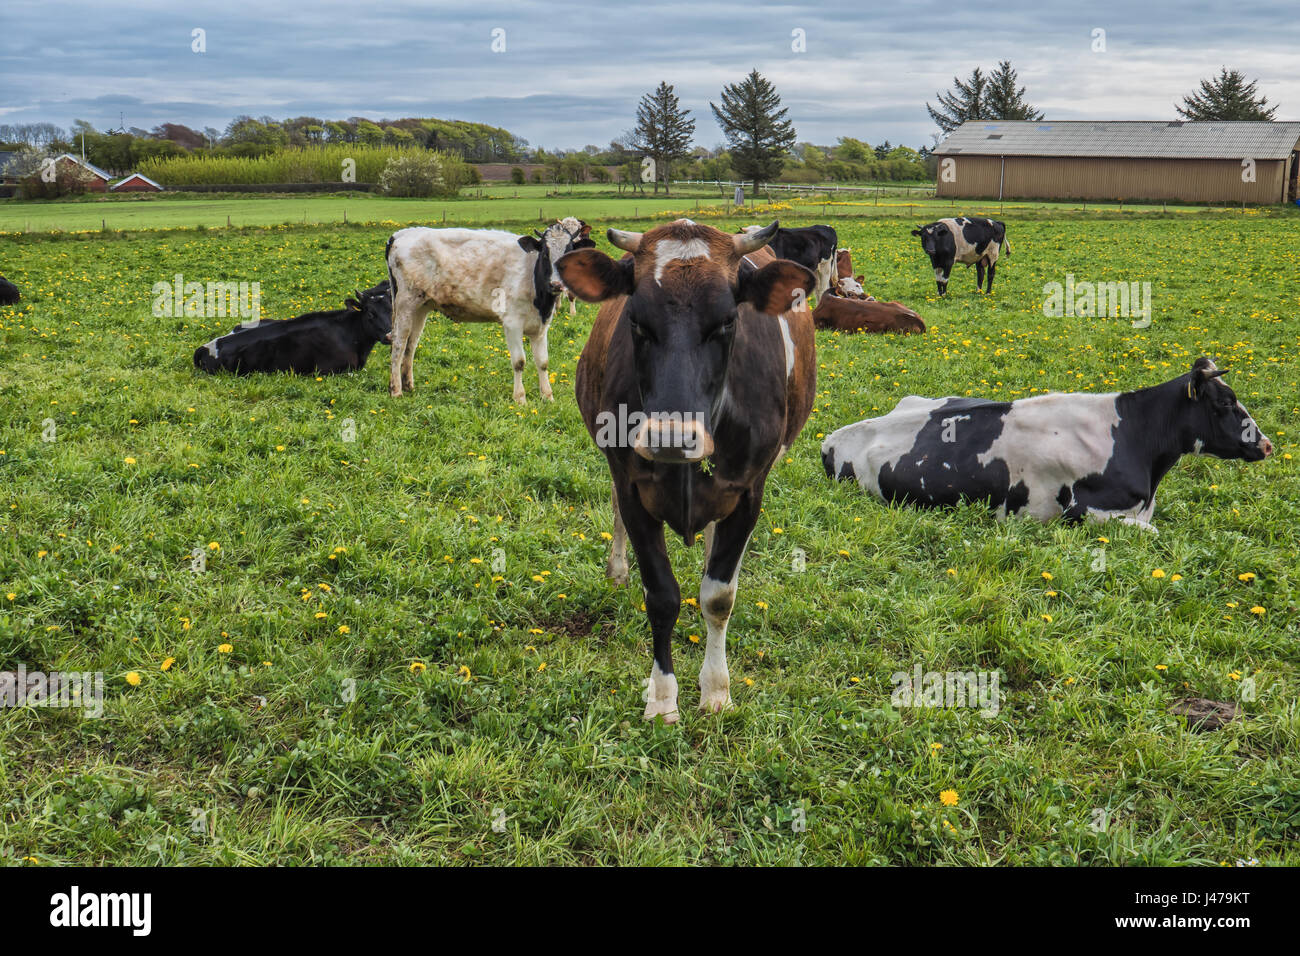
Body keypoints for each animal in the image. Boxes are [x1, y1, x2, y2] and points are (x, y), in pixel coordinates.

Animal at [385, 221, 584, 401]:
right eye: (544, 253)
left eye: (569, 253)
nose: (557, 284)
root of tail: (403, 233)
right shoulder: (512, 323)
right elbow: (519, 362)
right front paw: (520, 399)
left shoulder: (541, 326)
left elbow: (543, 362)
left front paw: (548, 397)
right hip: (404, 302)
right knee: (399, 343)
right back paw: (396, 390)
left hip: (420, 306)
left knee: (411, 343)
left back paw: (409, 385)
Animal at [557, 219, 816, 722]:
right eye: (636, 321)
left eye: (728, 321)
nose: (671, 438)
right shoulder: (633, 488)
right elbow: (661, 596)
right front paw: (662, 697)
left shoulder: (748, 493)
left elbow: (718, 596)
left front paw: (716, 690)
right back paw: (617, 572)